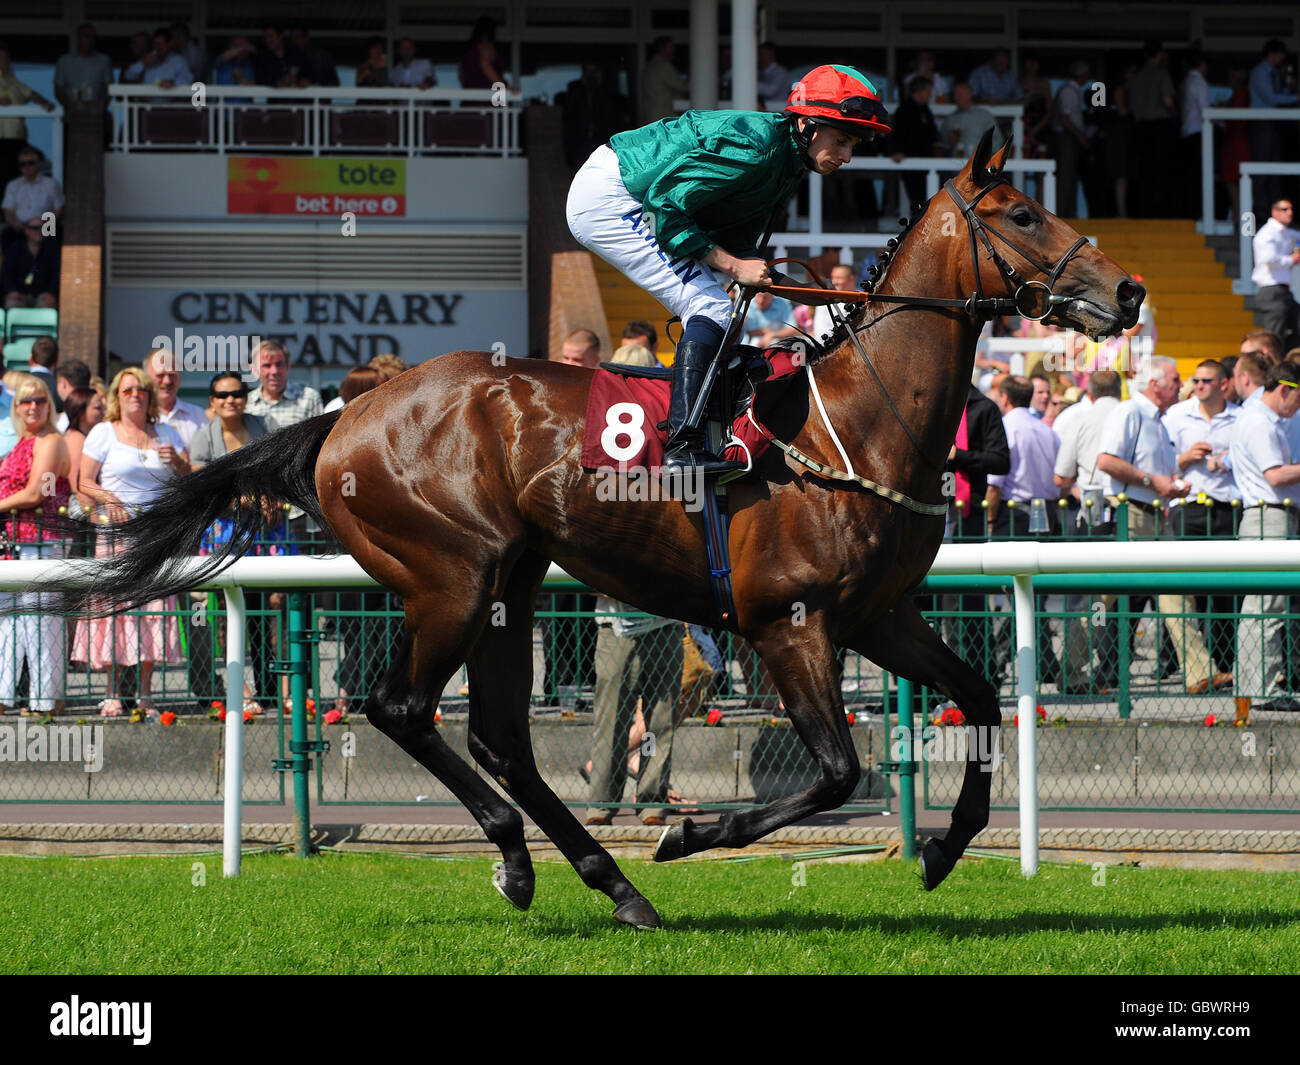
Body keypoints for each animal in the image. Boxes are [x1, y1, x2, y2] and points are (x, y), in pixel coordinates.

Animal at [47, 131, 1143, 928]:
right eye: (1020, 213)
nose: (1129, 288)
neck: (854, 418)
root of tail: (345, 416)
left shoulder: (876, 613)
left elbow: (983, 700)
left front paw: (949, 846)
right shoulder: (788, 622)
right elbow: (836, 770)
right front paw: (690, 836)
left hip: (514, 582)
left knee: (497, 735)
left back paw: (600, 881)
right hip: (455, 574)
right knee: (402, 707)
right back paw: (545, 863)